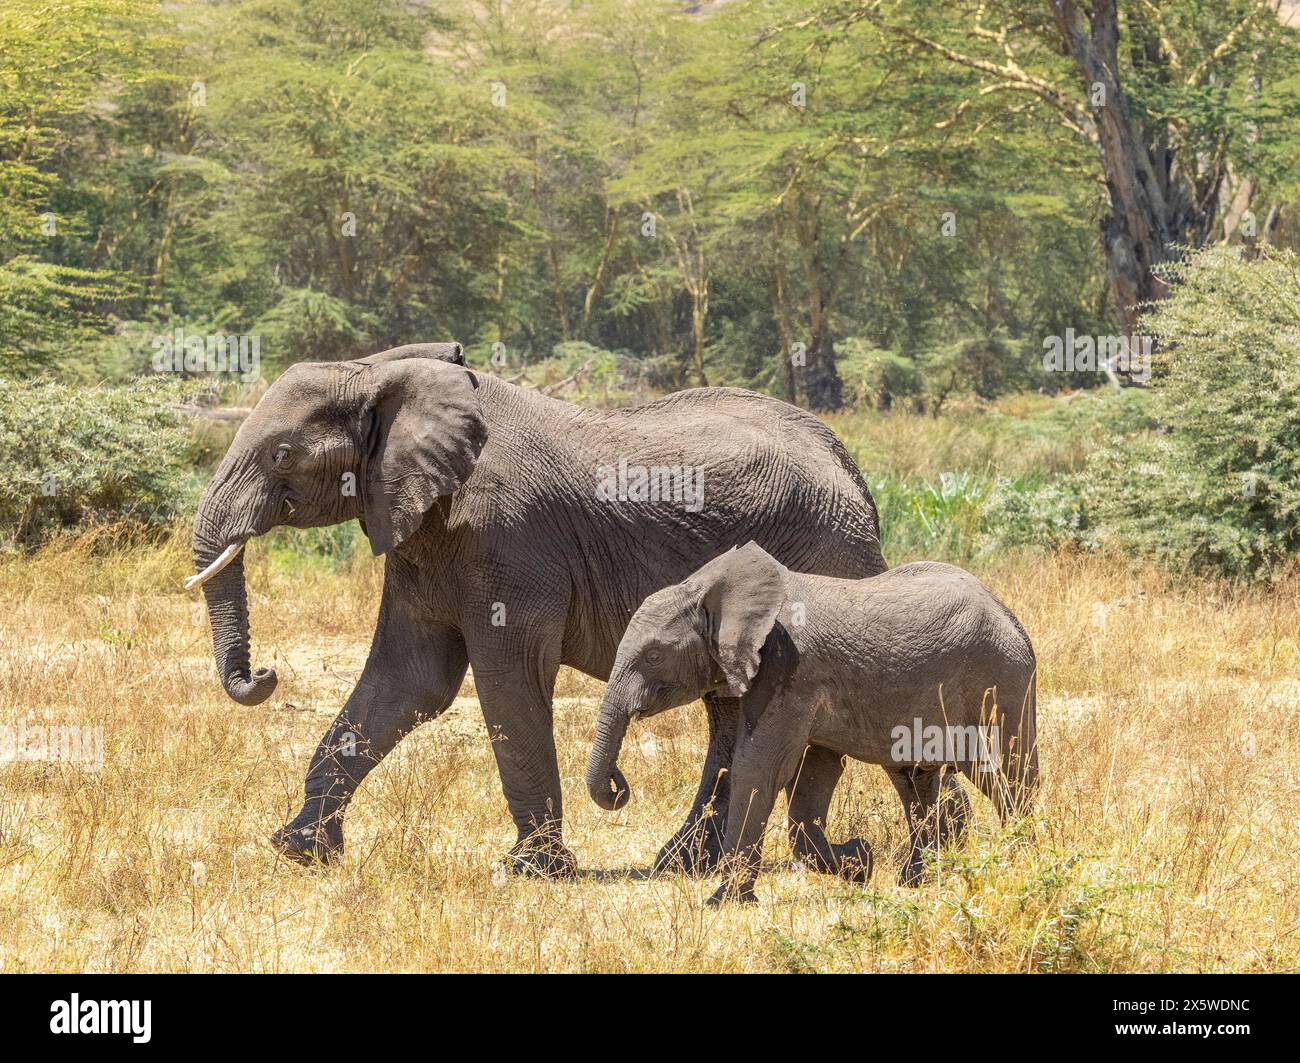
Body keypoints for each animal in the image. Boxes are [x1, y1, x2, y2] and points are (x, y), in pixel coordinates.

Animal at [187, 342, 886, 876]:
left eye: (281, 455)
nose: (265, 675)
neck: (378, 371)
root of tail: (854, 472)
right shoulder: (420, 530)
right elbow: (409, 681)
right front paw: (300, 849)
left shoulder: (510, 540)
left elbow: (507, 680)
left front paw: (535, 870)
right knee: (728, 713)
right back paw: (684, 864)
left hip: (825, 552)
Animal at [586, 542, 1038, 904]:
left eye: (653, 656)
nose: (618, 785)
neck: (713, 588)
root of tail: (1006, 609)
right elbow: (812, 778)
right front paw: (859, 863)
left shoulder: (789, 669)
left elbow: (761, 767)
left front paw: (721, 903)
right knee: (923, 774)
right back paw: (919, 880)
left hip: (1004, 674)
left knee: (1008, 765)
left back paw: (1024, 855)